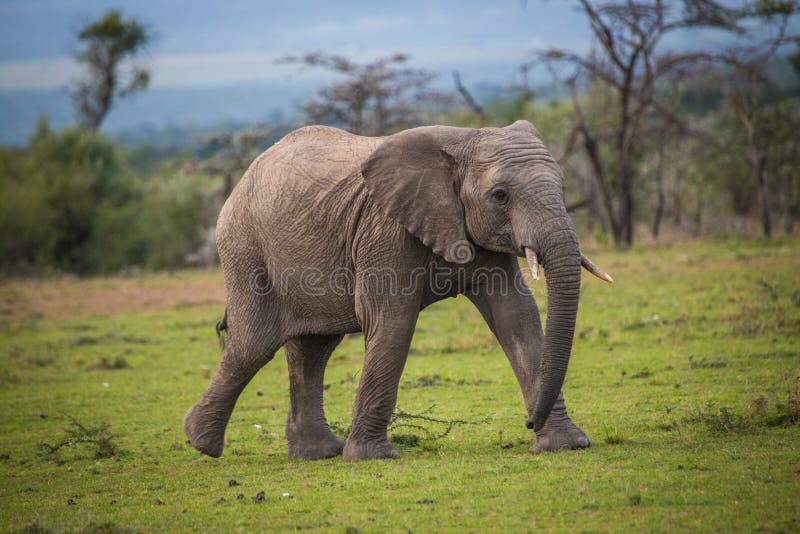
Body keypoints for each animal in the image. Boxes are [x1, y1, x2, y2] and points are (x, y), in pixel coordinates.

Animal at [183, 120, 612, 461]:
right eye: (500, 196)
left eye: (561, 185)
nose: (527, 423)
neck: (464, 141)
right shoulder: (386, 230)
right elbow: (393, 321)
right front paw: (373, 457)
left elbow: (517, 317)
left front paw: (567, 444)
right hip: (245, 248)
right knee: (253, 345)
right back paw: (201, 442)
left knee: (312, 349)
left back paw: (318, 453)